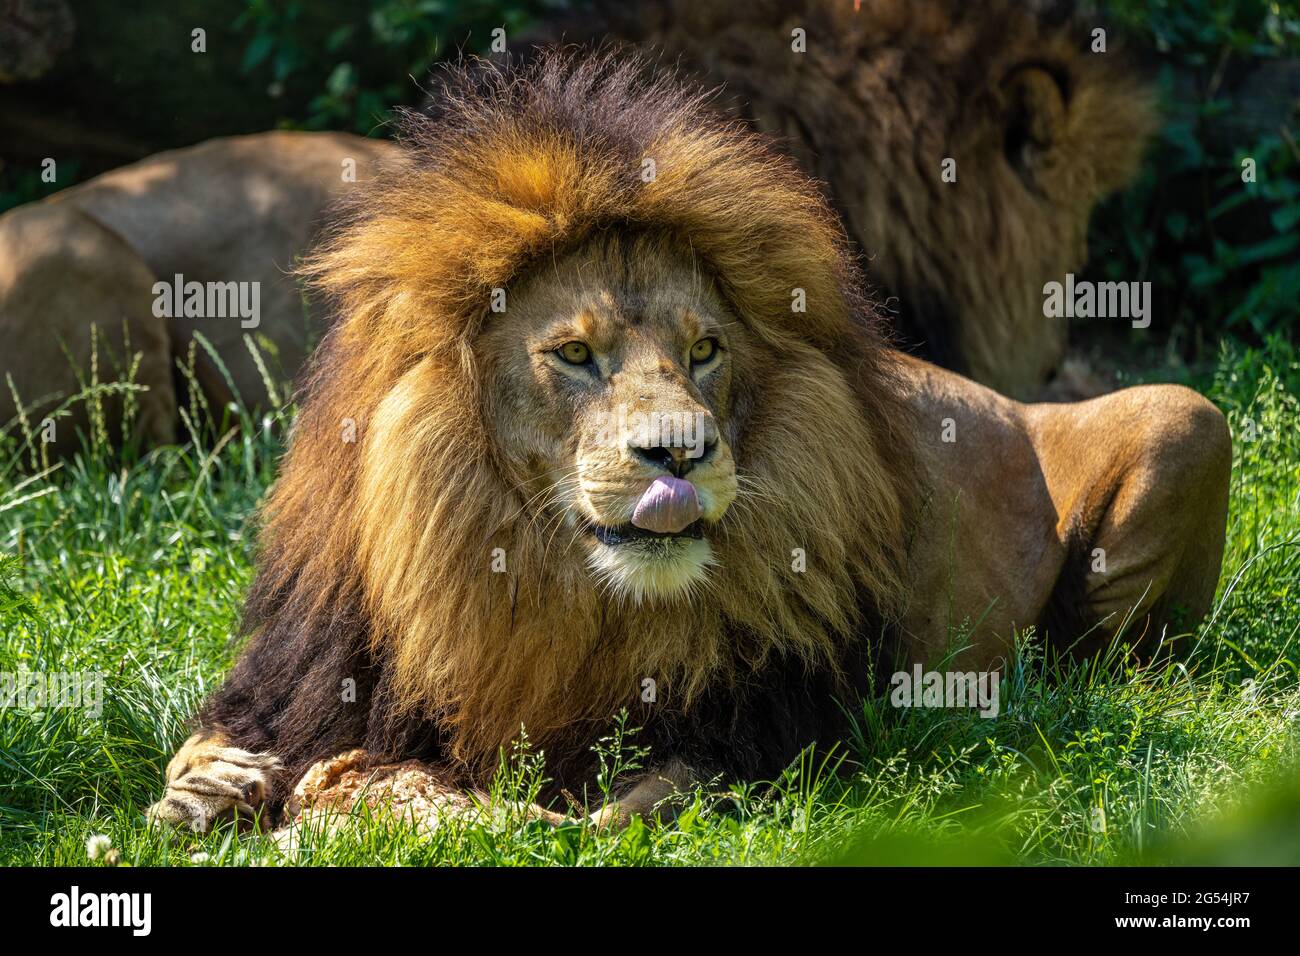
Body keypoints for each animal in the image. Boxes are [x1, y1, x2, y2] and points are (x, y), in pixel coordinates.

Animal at [148, 52, 1228, 833]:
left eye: (705, 350)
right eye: (574, 354)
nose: (678, 454)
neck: (536, 579)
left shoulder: (774, 729)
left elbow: (630, 803)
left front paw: (504, 820)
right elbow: (219, 749)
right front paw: (211, 789)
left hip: (1187, 423)